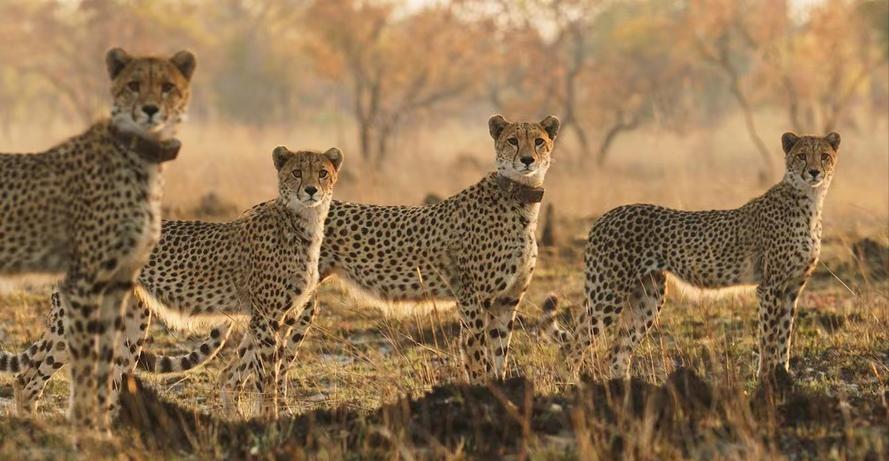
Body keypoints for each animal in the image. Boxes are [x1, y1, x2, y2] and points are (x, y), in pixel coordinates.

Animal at [1, 146, 343, 421]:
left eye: (323, 172)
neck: (304, 224)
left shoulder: (283, 317)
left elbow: (274, 371)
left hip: (130, 324)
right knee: (28, 379)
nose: (311, 190)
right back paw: (35, 427)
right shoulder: (265, 318)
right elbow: (267, 378)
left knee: (103, 379)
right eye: (297, 172)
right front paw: (270, 421)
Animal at [540, 131, 841, 380]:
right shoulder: (771, 287)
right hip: (607, 293)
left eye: (824, 156)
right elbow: (768, 338)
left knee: (617, 352)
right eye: (801, 155)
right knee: (574, 344)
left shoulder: (792, 288)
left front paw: (783, 377)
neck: (810, 201)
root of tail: (604, 216)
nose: (814, 172)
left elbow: (784, 338)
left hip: (647, 297)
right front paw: (768, 381)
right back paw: (570, 387)